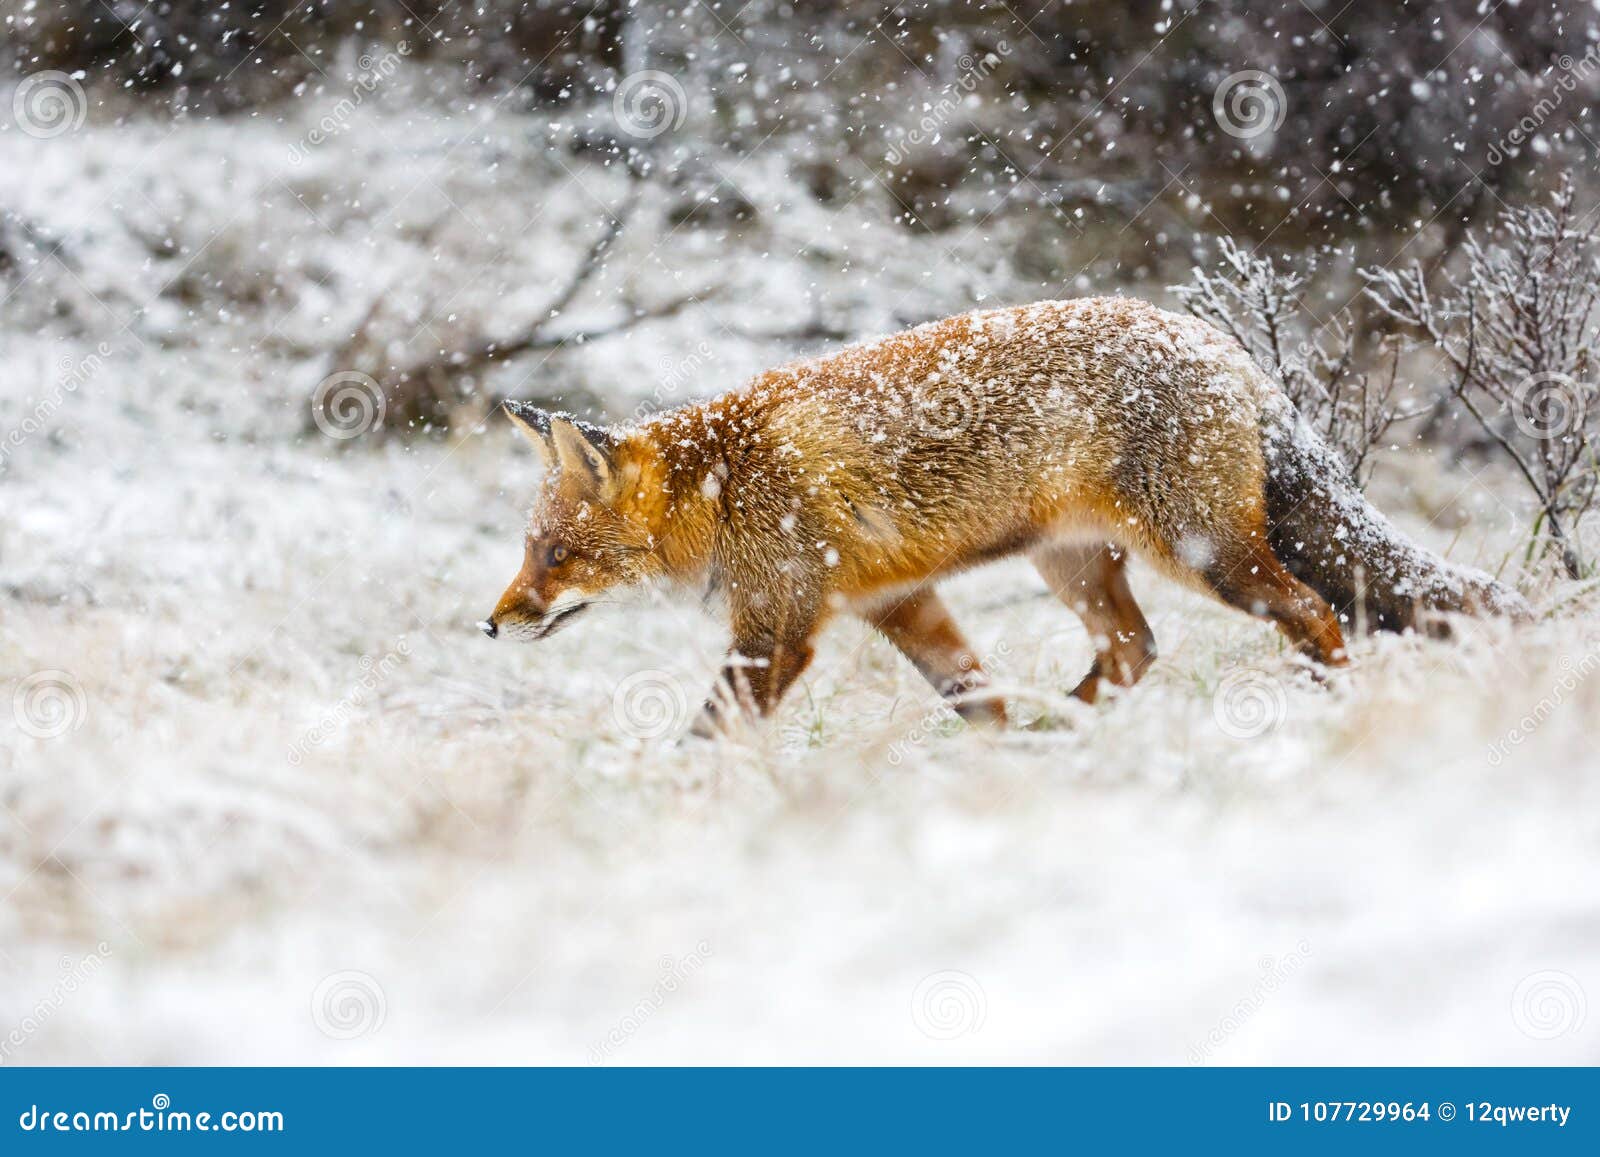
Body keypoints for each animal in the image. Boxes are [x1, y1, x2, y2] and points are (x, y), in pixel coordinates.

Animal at [481, 297, 1528, 736]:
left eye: (557, 555)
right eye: (530, 550)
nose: (490, 624)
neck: (727, 487)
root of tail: (1224, 344)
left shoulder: (781, 624)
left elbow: (711, 728)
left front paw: (679, 790)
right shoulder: (897, 601)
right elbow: (969, 693)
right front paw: (987, 755)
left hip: (1207, 556)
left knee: (1314, 612)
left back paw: (1332, 707)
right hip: (1074, 567)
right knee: (1136, 649)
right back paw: (1061, 727)